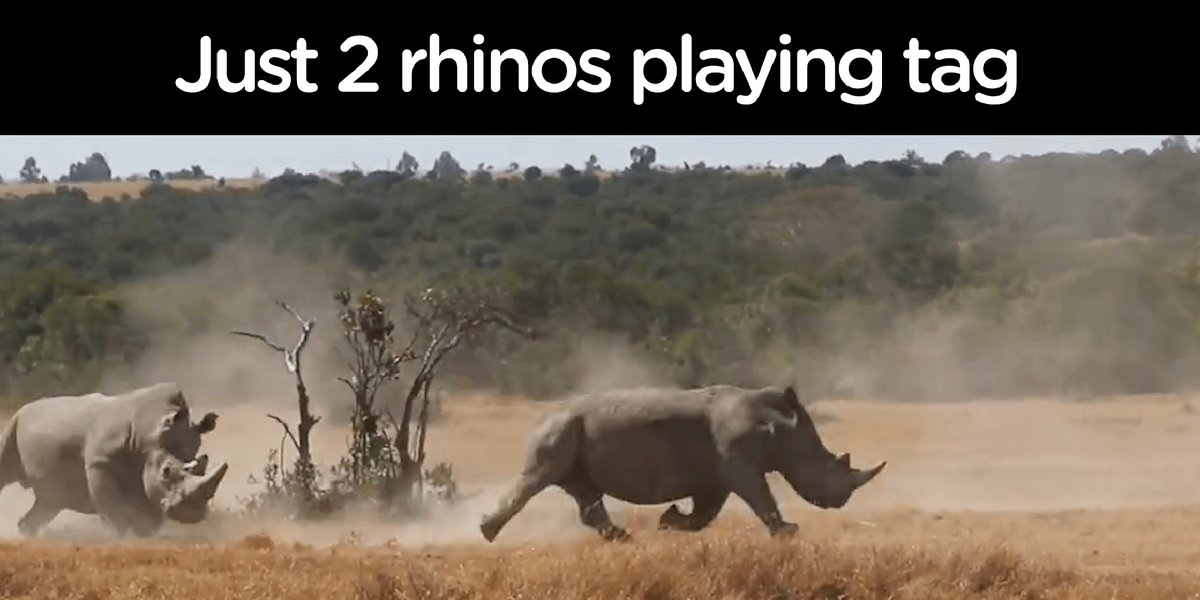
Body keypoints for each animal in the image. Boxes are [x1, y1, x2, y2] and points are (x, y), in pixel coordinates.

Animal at [0, 382, 229, 538]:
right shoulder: (100, 462)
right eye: (166, 472)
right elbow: (115, 512)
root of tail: (22, 408)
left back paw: (28, 535)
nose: (191, 515)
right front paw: (116, 539)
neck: (150, 433)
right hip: (13, 423)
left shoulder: (143, 478)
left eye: (202, 463)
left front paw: (144, 537)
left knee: (50, 501)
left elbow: (148, 517)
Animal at [480, 384, 886, 542]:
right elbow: (761, 497)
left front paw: (668, 521)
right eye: (823, 464)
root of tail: (544, 416)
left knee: (582, 490)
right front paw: (789, 531)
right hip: (561, 430)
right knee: (539, 476)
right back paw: (487, 533)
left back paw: (622, 538)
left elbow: (705, 512)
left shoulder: (717, 474)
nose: (839, 503)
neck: (777, 427)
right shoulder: (739, 464)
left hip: (573, 434)